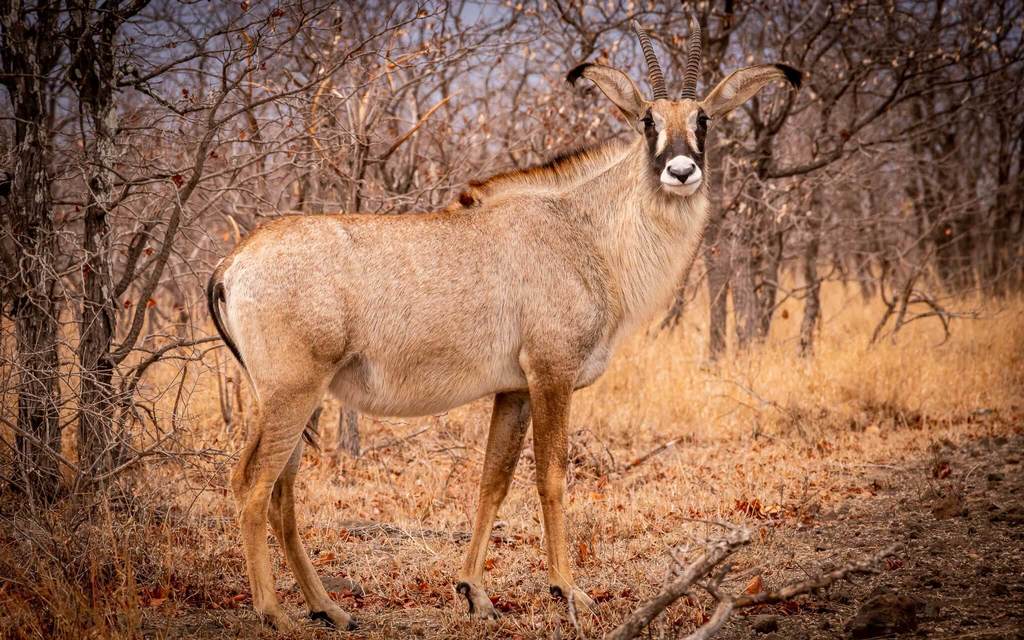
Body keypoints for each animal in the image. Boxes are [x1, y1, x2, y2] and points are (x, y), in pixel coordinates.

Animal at [207, 19, 800, 631]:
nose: (681, 171)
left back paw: (329, 609)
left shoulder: (512, 390)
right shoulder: (551, 375)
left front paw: (474, 591)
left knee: (281, 494)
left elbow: (493, 480)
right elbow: (551, 477)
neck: (584, 230)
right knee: (252, 484)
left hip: (297, 399)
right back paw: (273, 612)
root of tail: (232, 264)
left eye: (702, 119)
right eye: (647, 120)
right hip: (291, 393)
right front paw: (568, 589)